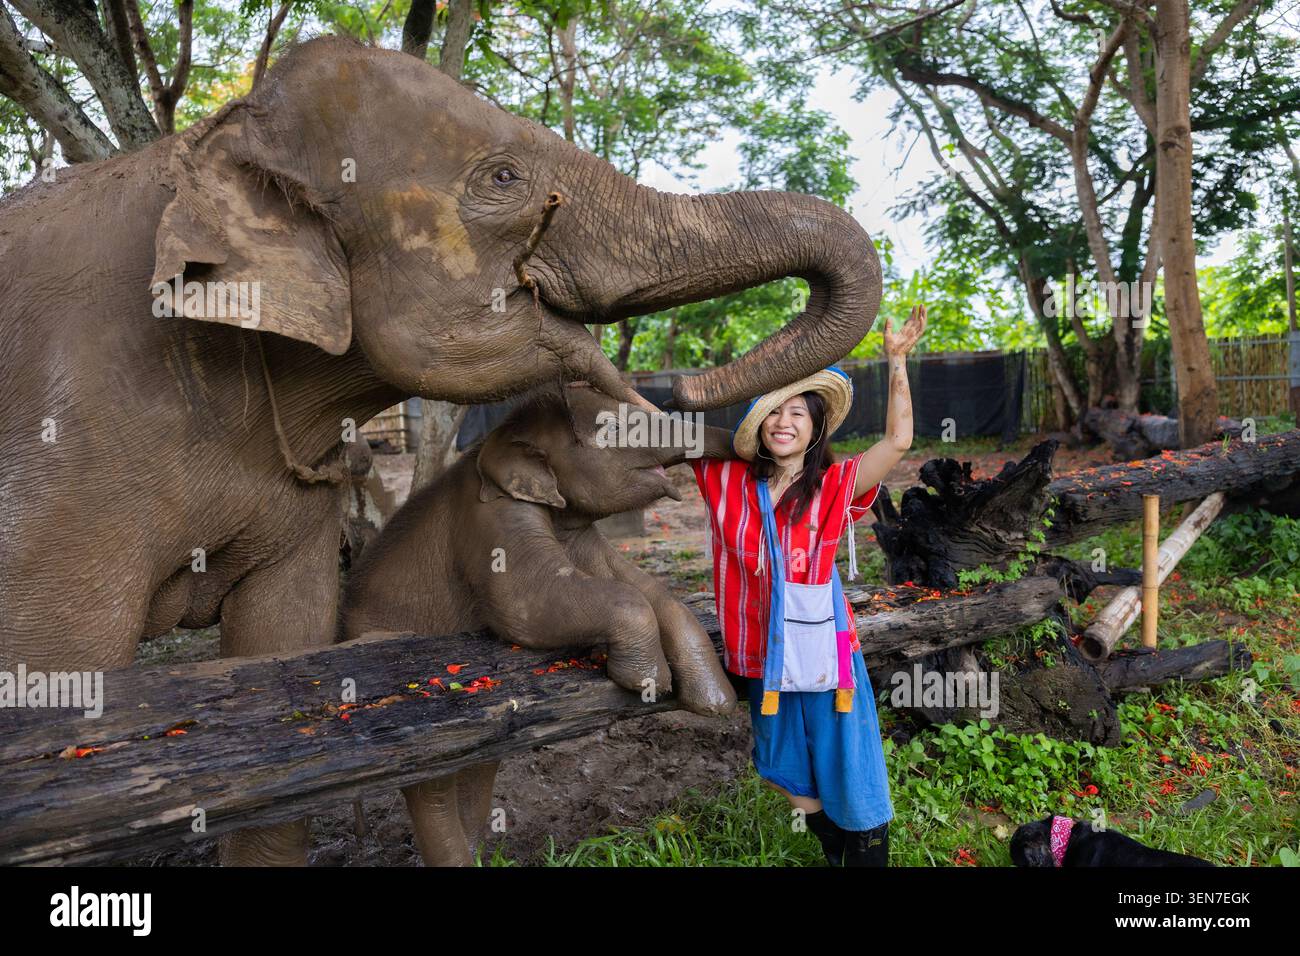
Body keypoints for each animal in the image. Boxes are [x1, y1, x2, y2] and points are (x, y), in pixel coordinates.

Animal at [340, 383, 737, 866]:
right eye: (614, 428)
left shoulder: (576, 530)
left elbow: (643, 586)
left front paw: (714, 703)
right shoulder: (492, 517)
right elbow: (527, 602)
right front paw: (648, 681)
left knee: (479, 760)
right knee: (430, 779)